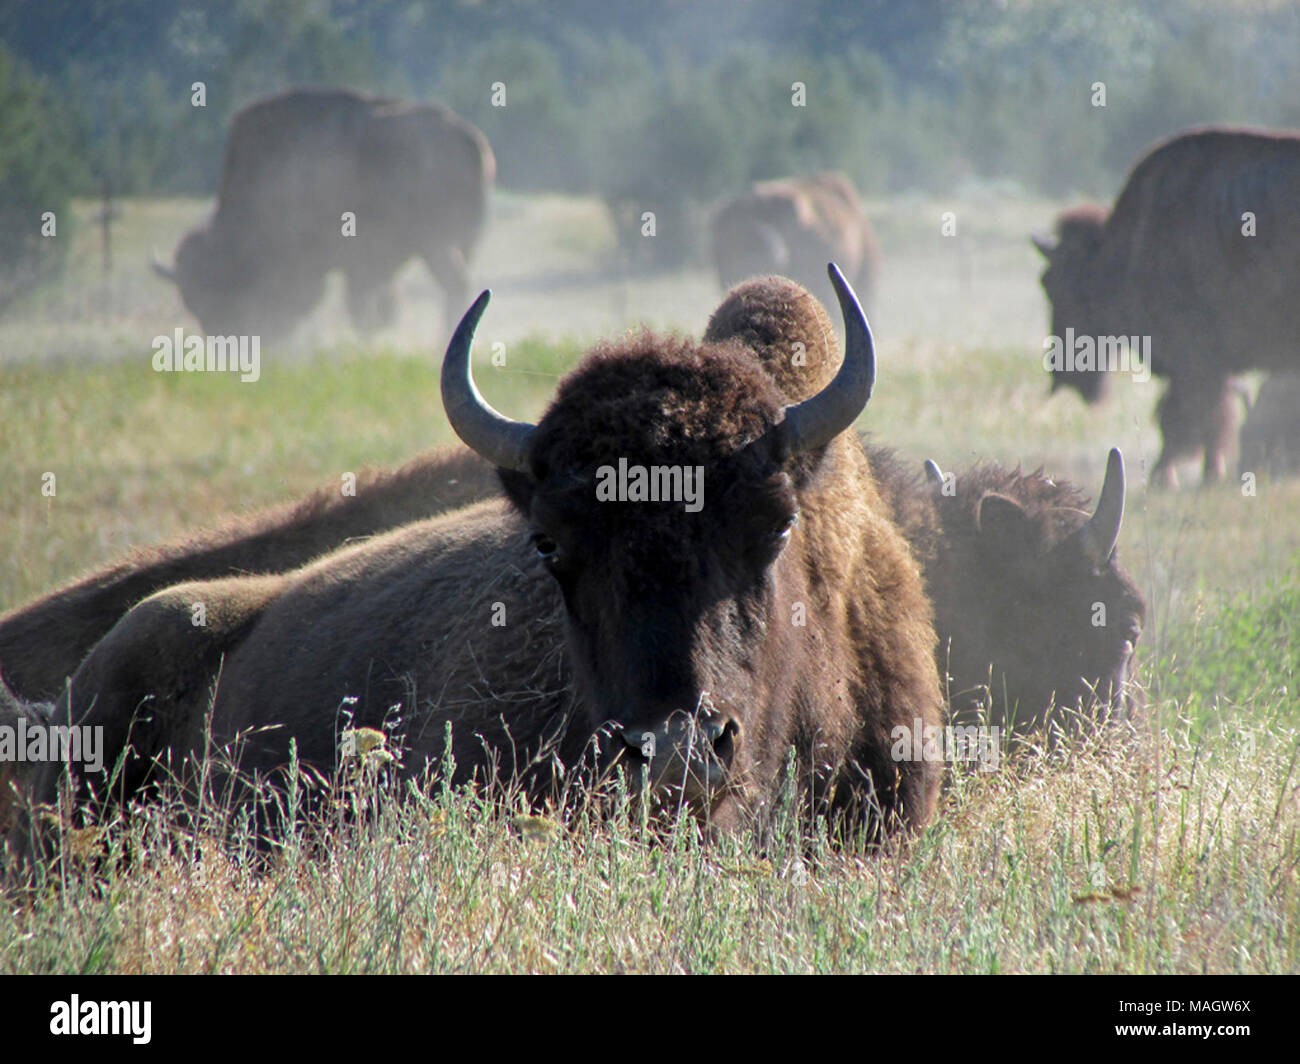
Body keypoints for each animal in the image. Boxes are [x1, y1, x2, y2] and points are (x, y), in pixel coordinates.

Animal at [152, 87, 495, 338]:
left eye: (216, 292)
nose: (224, 337)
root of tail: (469, 140)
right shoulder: (364, 267)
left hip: (436, 244)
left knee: (455, 284)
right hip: (460, 243)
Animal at [1034, 127, 1300, 488]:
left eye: (1059, 285)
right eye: (1045, 281)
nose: (1062, 371)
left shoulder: (1196, 362)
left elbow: (1185, 418)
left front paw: (1168, 478)